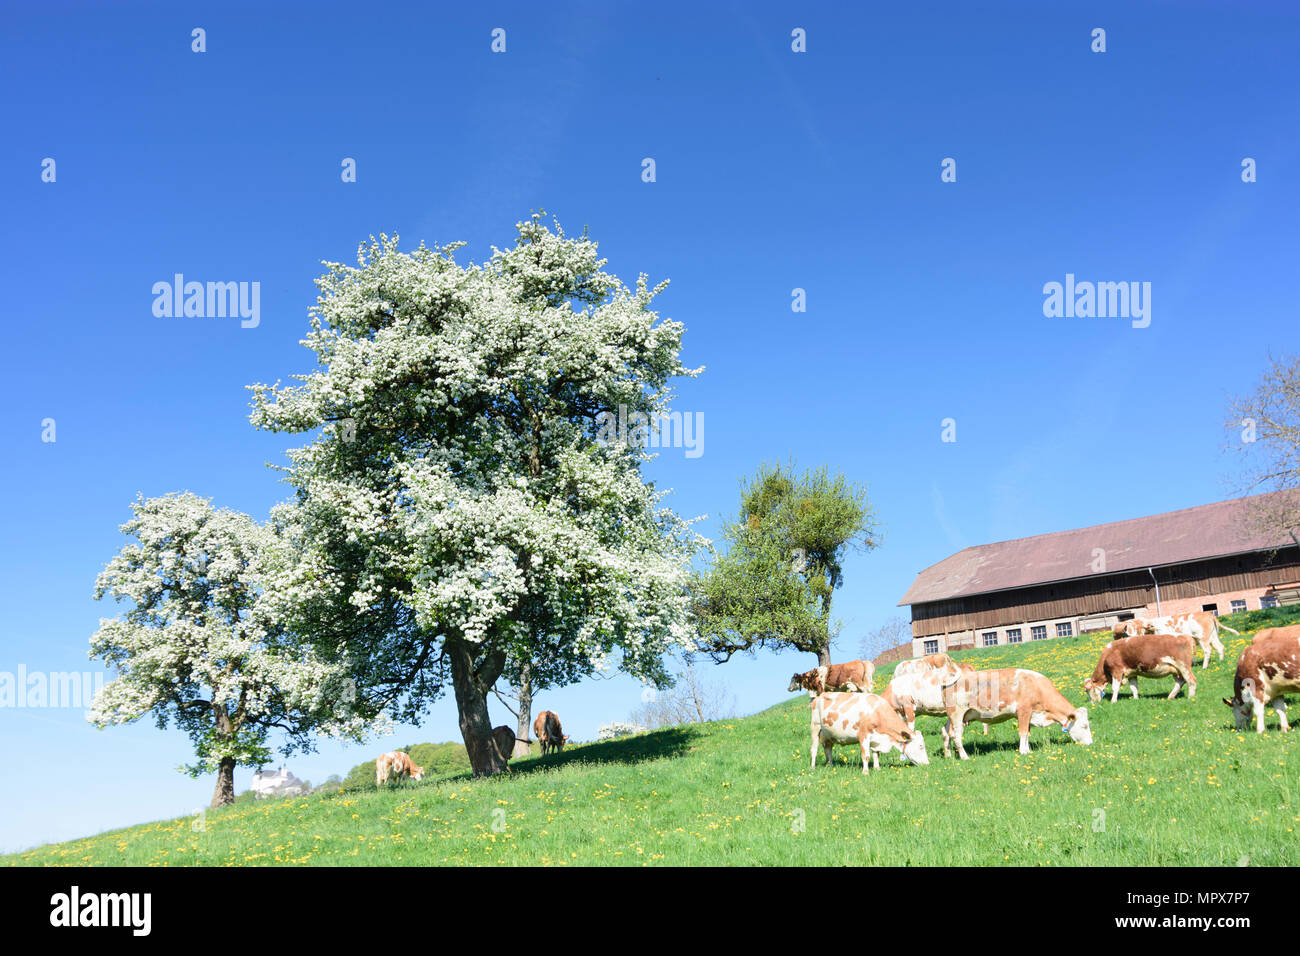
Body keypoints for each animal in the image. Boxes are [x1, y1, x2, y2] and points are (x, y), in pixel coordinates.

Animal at [940, 668, 1092, 760]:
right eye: (1084, 726)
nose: (1091, 743)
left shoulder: (1030, 714)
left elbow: (1027, 734)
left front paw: (1028, 750)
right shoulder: (1023, 711)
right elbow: (1023, 732)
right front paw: (1023, 751)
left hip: (957, 717)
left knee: (946, 731)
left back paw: (948, 755)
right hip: (957, 714)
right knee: (956, 735)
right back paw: (964, 756)